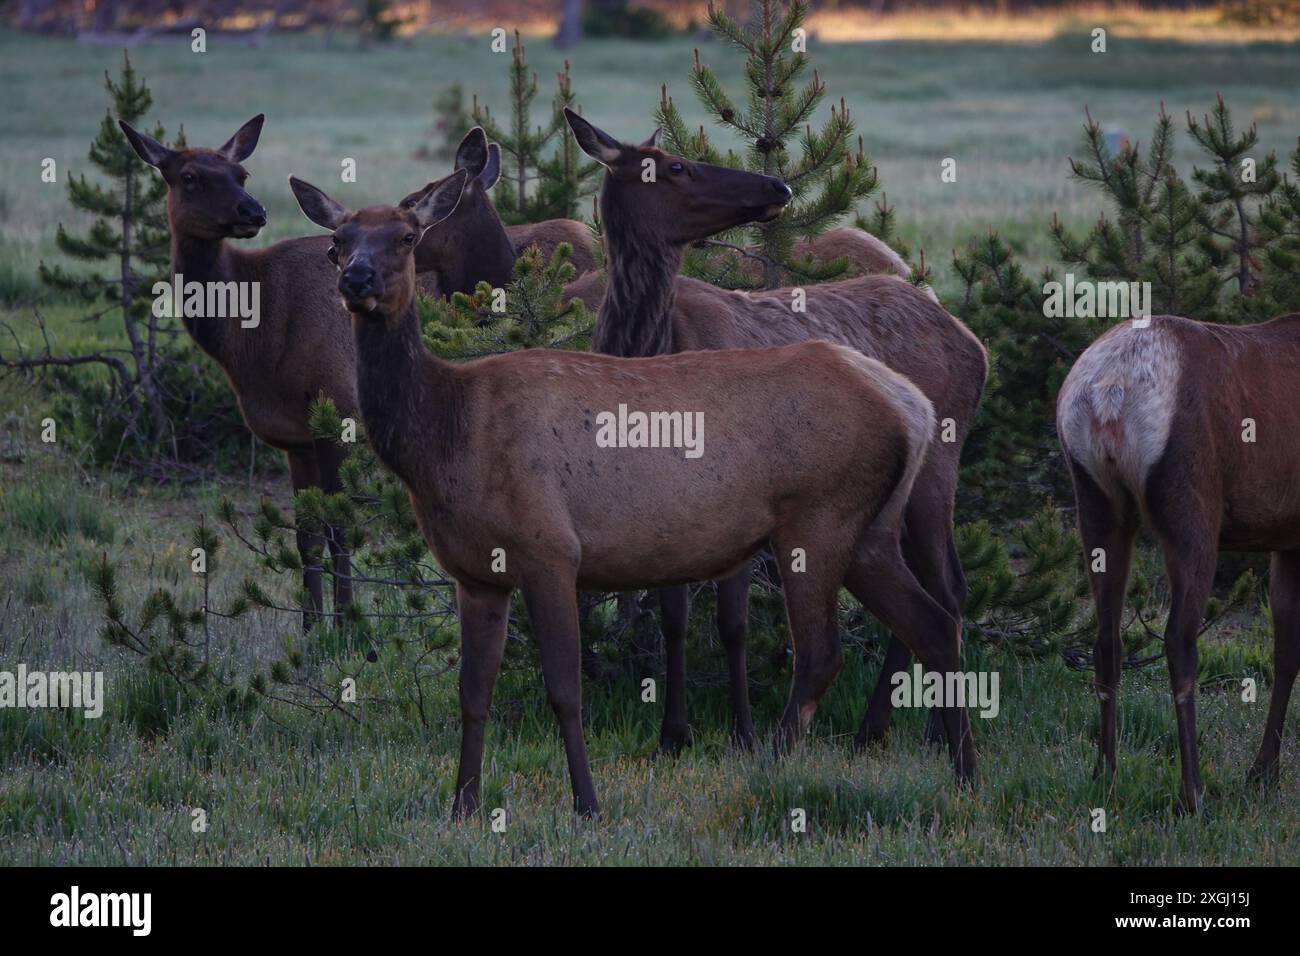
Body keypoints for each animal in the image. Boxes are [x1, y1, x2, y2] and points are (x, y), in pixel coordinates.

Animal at [119, 115, 354, 629]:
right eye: (188, 176)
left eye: (240, 174)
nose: (254, 210)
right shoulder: (296, 437)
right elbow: (305, 536)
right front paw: (312, 628)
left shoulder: (338, 408)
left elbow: (340, 528)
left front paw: (353, 628)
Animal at [288, 166, 974, 818]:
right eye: (336, 243)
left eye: (407, 236)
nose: (357, 279)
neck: (445, 435)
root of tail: (910, 404)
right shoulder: (476, 573)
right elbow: (473, 692)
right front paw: (463, 806)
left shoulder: (549, 549)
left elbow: (565, 690)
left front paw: (587, 804)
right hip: (870, 530)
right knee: (935, 623)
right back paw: (963, 775)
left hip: (819, 518)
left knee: (824, 652)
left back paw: (772, 767)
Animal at [564, 109, 988, 755]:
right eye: (676, 166)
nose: (778, 186)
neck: (648, 345)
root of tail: (974, 341)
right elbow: (674, 615)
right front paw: (674, 733)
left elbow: (732, 623)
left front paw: (740, 728)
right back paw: (895, 728)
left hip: (939, 464)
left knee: (949, 587)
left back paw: (915, 731)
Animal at [1058, 313, 1300, 813]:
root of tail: (1112, 388)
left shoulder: (1286, 538)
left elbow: (1286, 654)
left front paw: (1264, 773)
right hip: (1192, 508)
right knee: (1179, 642)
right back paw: (1194, 792)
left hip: (1096, 502)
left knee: (1107, 639)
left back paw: (1104, 775)